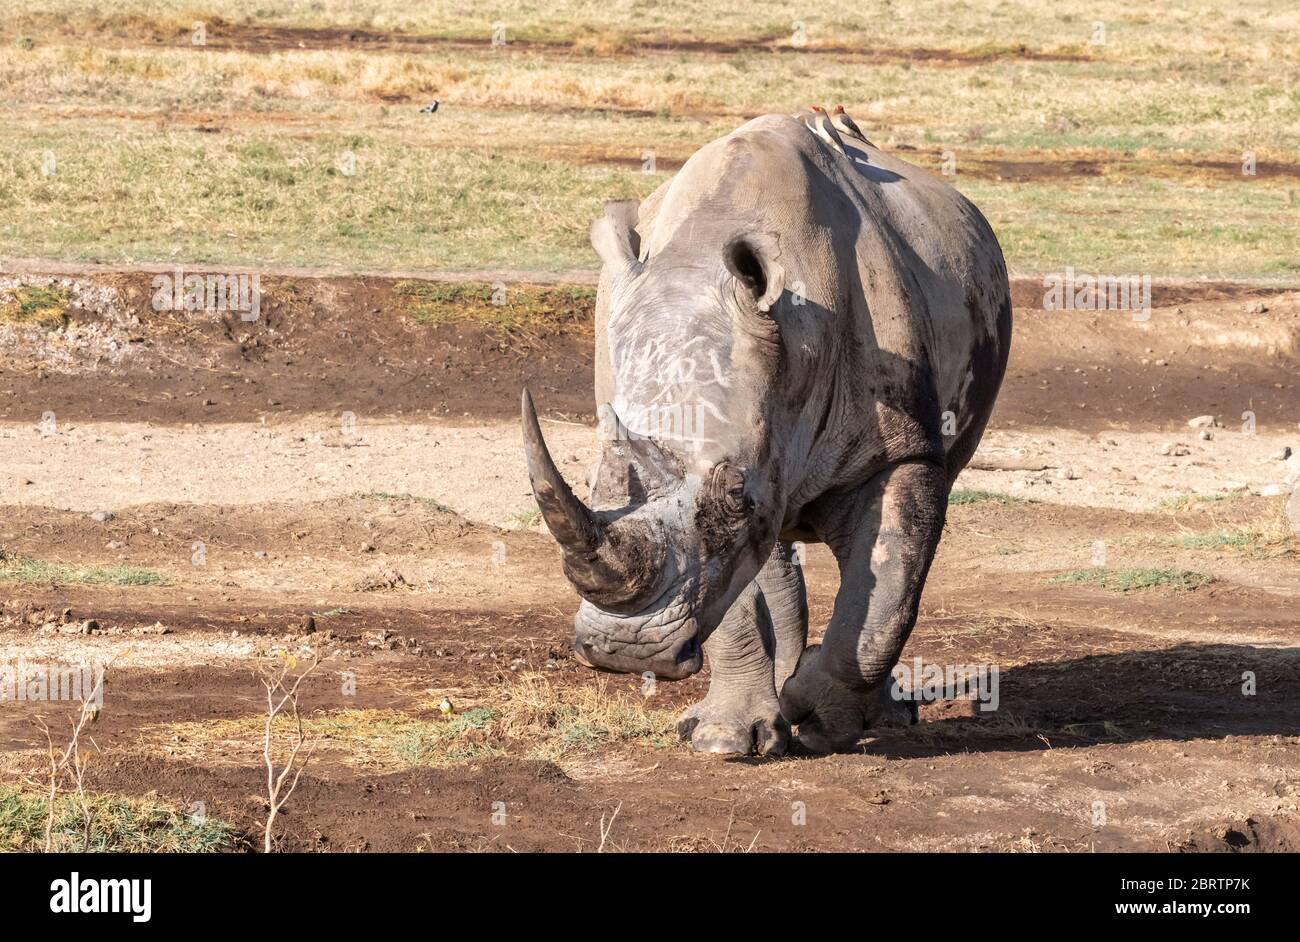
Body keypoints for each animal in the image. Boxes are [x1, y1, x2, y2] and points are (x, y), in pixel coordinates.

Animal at [522, 108, 1010, 755]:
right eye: (594, 480)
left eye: (738, 496)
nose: (625, 650)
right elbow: (731, 593)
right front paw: (723, 740)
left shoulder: (904, 451)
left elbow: (889, 586)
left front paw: (821, 718)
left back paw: (866, 714)